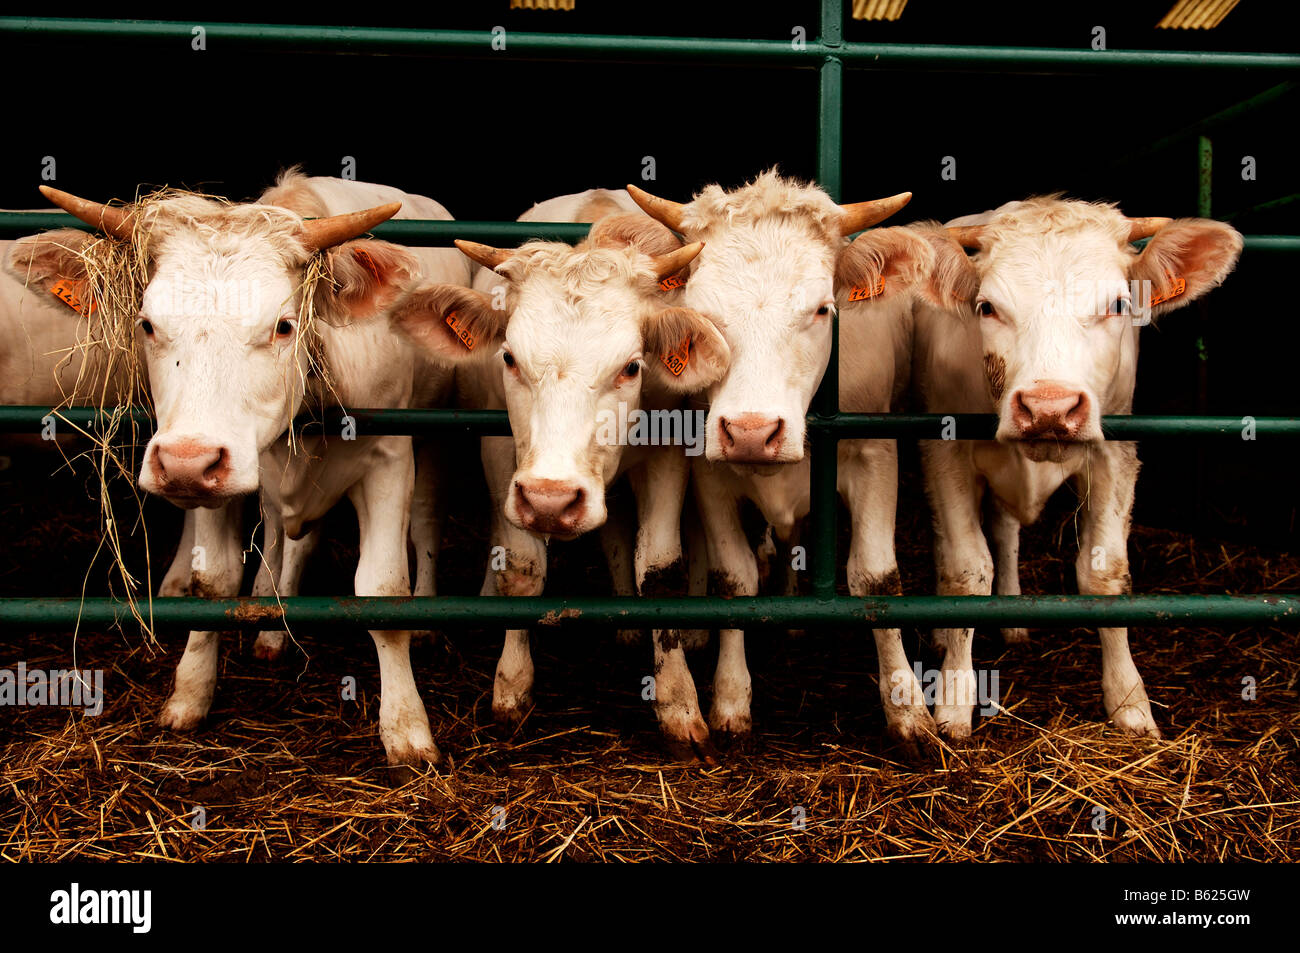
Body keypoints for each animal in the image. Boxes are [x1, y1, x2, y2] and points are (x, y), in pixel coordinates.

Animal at [8, 173, 471, 767]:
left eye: (283, 325)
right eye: (147, 323)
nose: (183, 462)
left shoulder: (389, 461)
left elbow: (383, 588)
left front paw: (407, 726)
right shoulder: (219, 474)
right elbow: (215, 579)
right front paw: (191, 690)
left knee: (427, 519)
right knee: (283, 536)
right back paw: (272, 627)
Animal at [386, 190, 731, 758]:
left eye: (632, 366)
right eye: (508, 357)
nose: (551, 499)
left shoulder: (668, 454)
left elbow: (659, 570)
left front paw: (679, 703)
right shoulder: (503, 455)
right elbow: (522, 568)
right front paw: (512, 686)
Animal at [627, 171, 941, 756]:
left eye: (821, 309)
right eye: (704, 314)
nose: (752, 432)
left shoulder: (875, 457)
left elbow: (875, 578)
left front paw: (907, 709)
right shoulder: (712, 474)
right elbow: (735, 578)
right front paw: (731, 700)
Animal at [911, 197, 1243, 739]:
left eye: (1118, 304)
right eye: (987, 307)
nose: (1049, 409)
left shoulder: (1115, 455)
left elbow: (1103, 573)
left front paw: (1129, 701)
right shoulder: (945, 454)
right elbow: (966, 570)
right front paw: (955, 700)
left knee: (1006, 532)